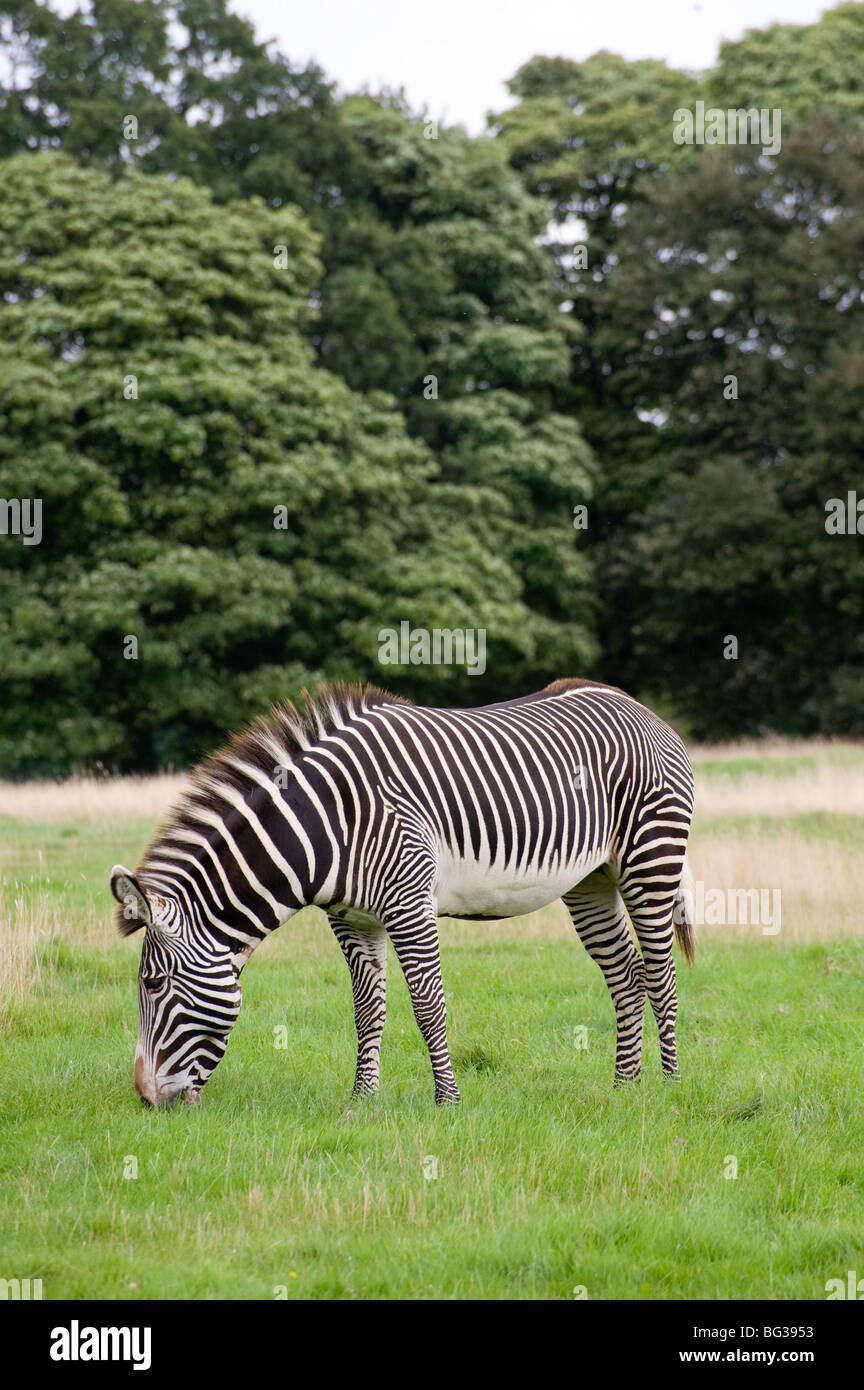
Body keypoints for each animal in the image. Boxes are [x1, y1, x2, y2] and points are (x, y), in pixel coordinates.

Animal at [110, 679, 695, 1108]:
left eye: (153, 984)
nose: (144, 1099)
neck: (328, 825)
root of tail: (637, 705)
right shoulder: (352, 917)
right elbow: (367, 1007)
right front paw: (362, 1100)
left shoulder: (409, 901)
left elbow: (428, 1004)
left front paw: (448, 1100)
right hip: (590, 881)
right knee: (626, 974)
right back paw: (625, 1086)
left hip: (651, 859)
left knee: (661, 975)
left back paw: (669, 1085)